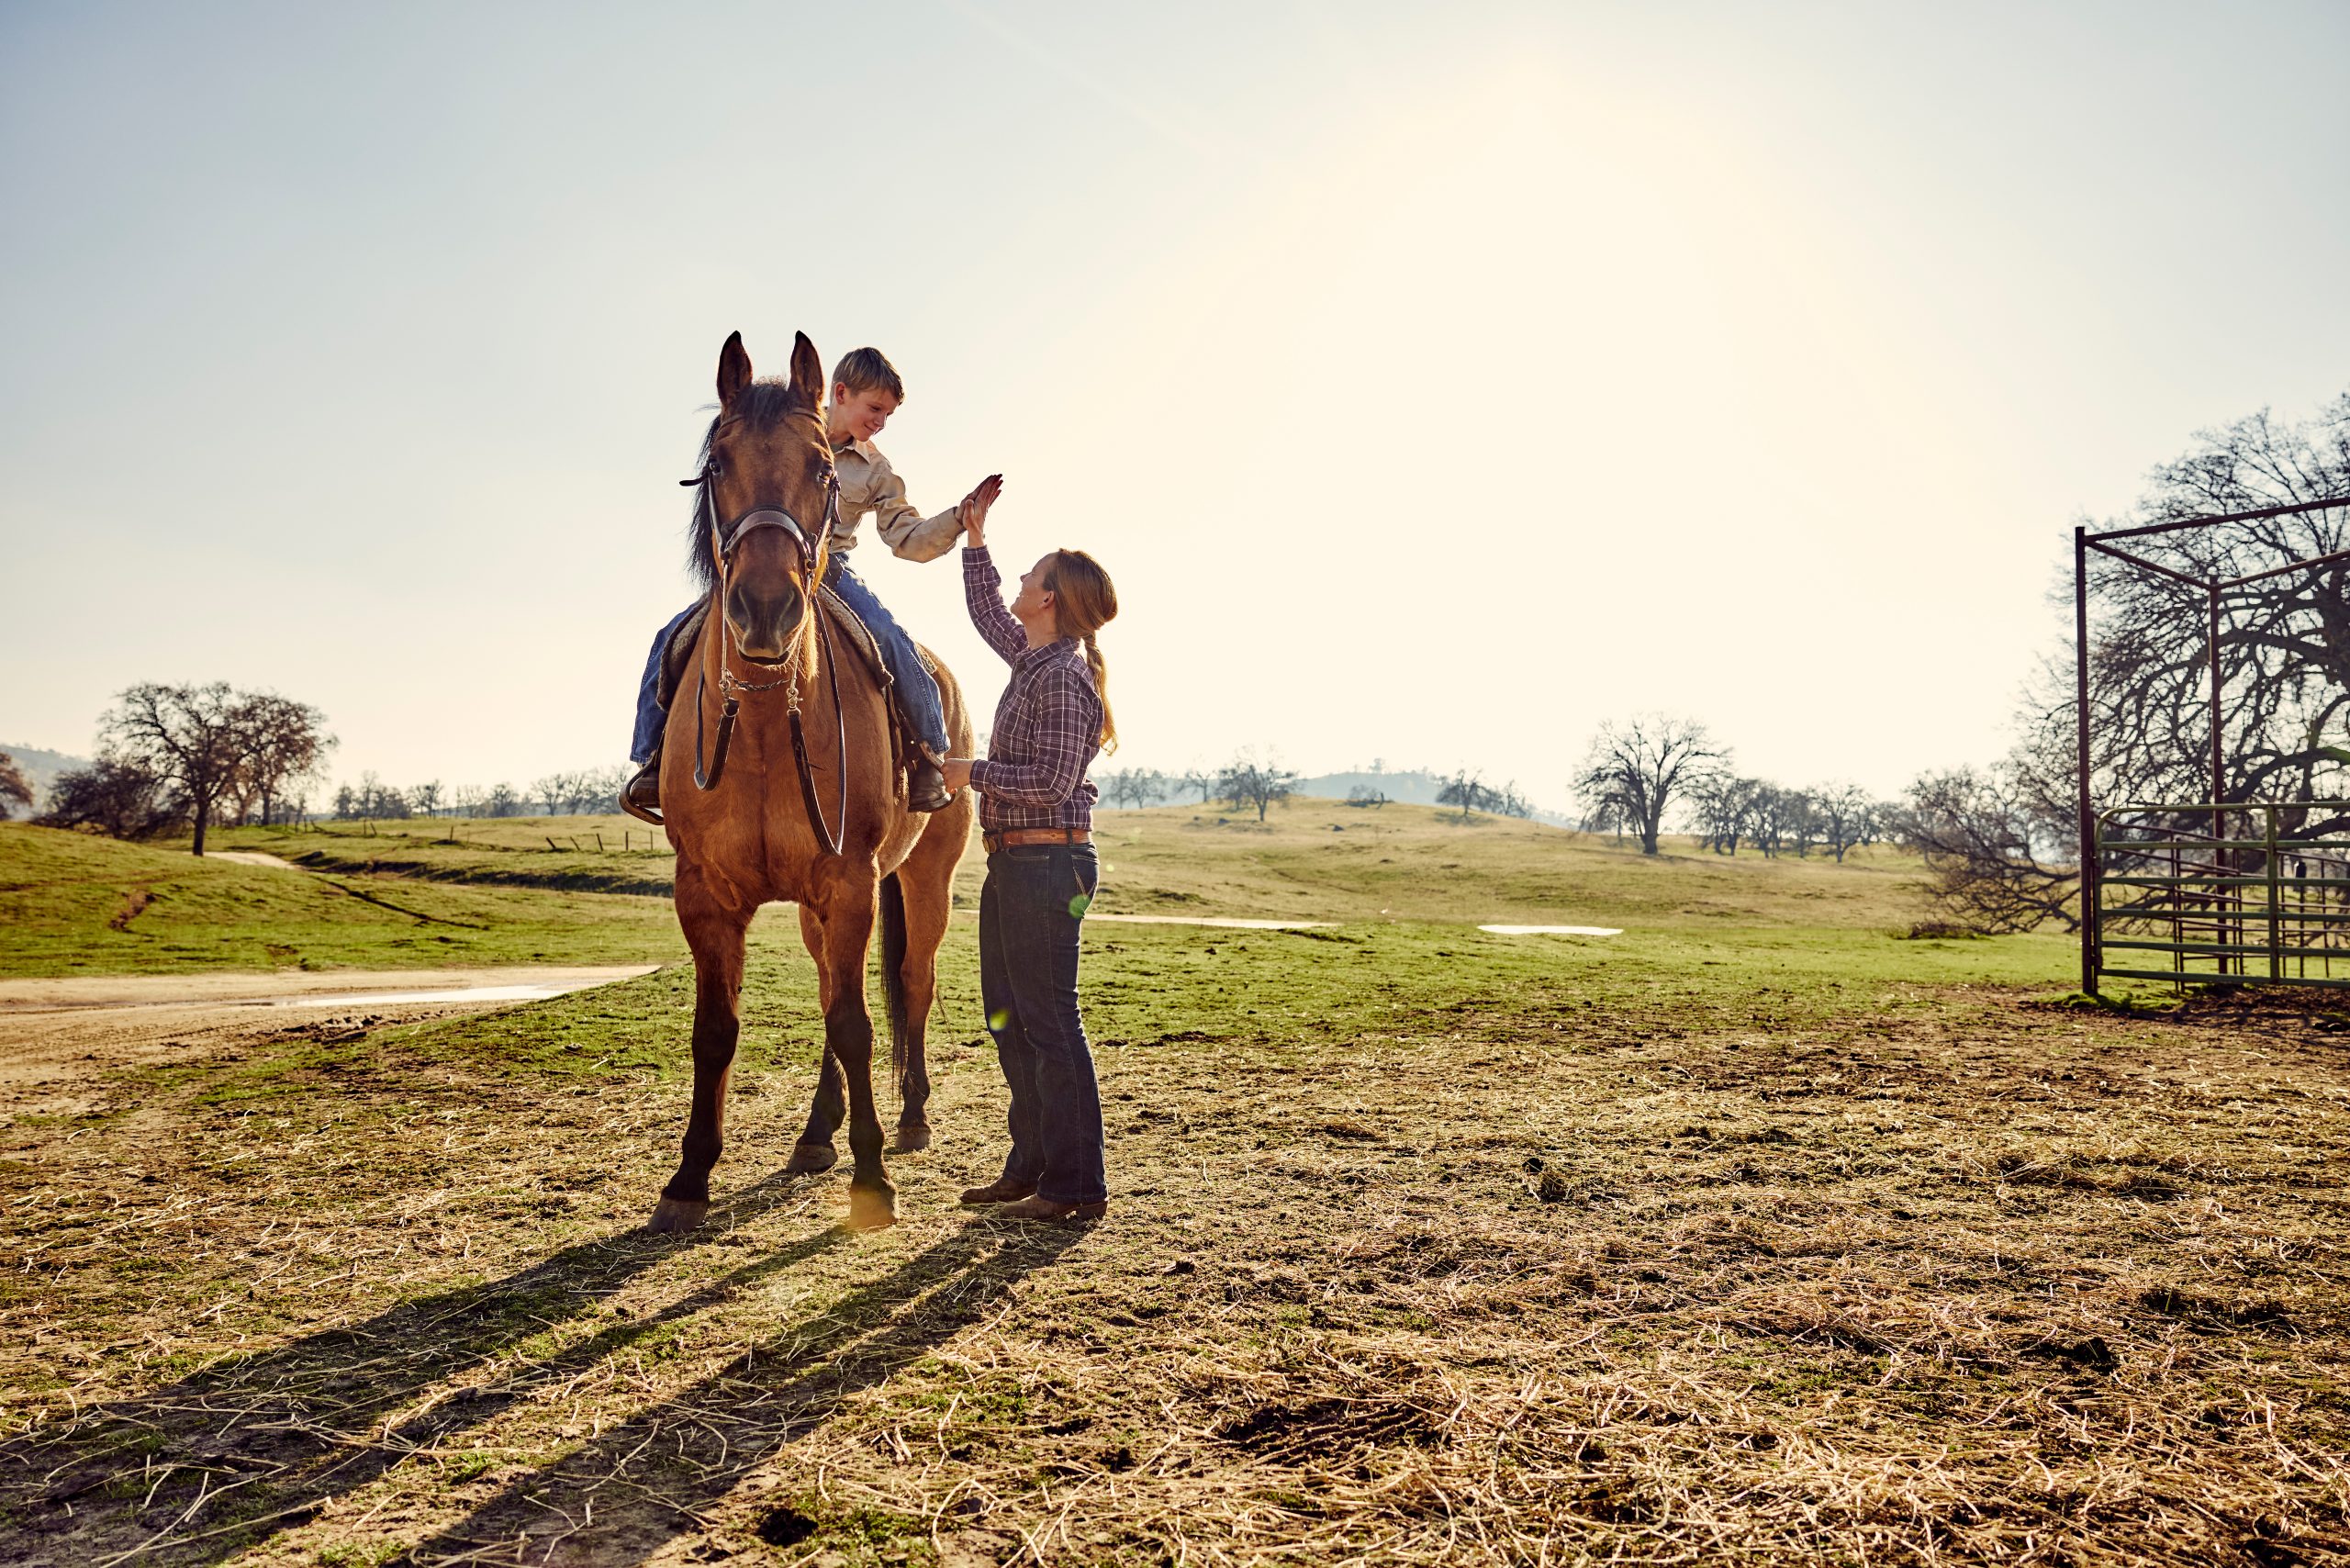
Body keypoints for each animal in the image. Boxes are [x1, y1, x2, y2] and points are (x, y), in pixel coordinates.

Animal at [648, 329, 974, 1233]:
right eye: (717, 463)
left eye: (827, 471)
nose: (765, 611)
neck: (762, 722)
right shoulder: (706, 893)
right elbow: (717, 1030)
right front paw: (690, 1175)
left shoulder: (850, 880)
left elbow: (858, 1023)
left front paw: (872, 1180)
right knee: (837, 992)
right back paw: (815, 1134)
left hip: (923, 879)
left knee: (911, 983)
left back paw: (909, 1120)